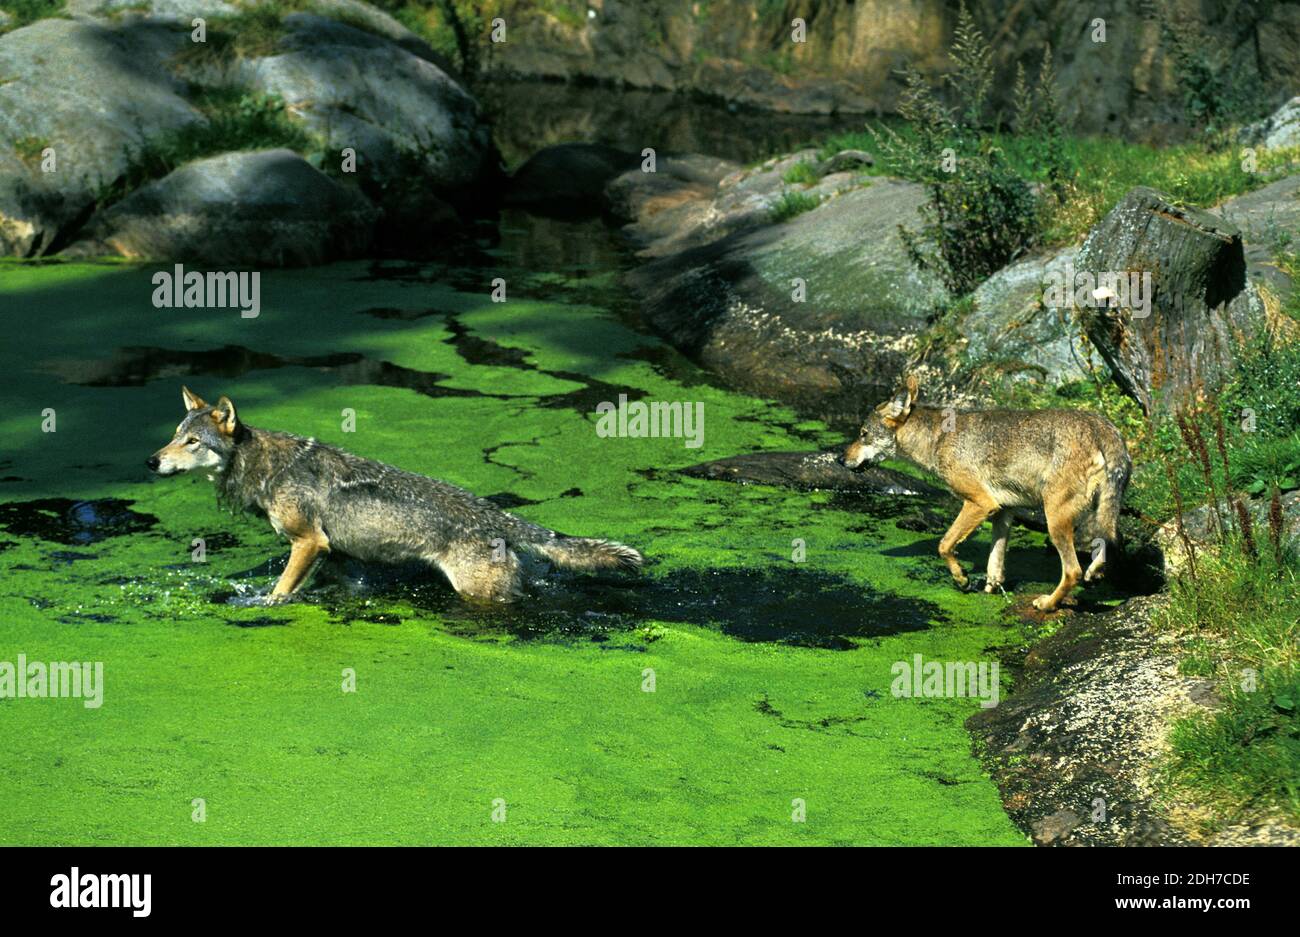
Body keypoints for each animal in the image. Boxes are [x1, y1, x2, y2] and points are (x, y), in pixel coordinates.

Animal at [147, 387, 643, 603]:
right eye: (173, 436)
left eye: (193, 442)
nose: (152, 461)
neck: (266, 468)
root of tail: (497, 516)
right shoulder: (336, 554)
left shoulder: (308, 543)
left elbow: (280, 591)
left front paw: (263, 605)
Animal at [840, 375, 1131, 611]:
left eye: (863, 434)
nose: (840, 460)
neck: (937, 439)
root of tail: (1103, 427)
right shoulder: (1003, 511)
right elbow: (995, 562)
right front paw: (990, 588)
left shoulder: (980, 503)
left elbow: (944, 544)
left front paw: (962, 579)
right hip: (1098, 516)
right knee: (1111, 544)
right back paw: (1095, 574)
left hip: (1055, 521)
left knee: (1072, 571)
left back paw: (1047, 603)